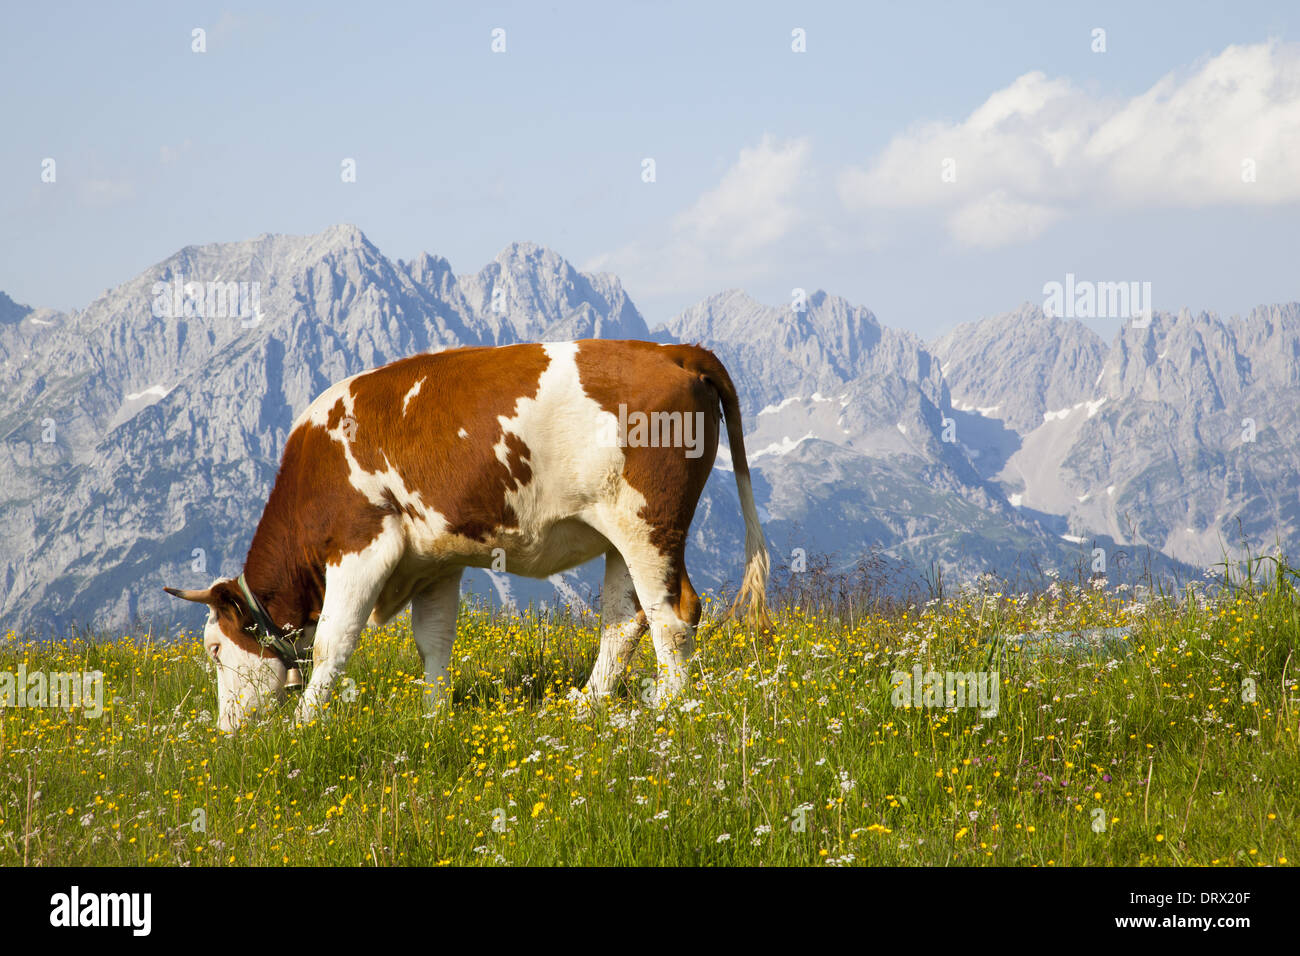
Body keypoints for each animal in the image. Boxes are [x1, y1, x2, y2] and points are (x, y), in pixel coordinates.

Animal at [165, 339, 770, 731]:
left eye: (215, 649)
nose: (226, 730)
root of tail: (673, 348)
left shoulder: (362, 546)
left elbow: (334, 642)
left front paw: (306, 724)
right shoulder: (434, 562)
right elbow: (433, 640)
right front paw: (433, 718)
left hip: (650, 523)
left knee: (673, 614)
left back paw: (670, 709)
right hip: (618, 531)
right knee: (625, 619)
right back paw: (588, 702)